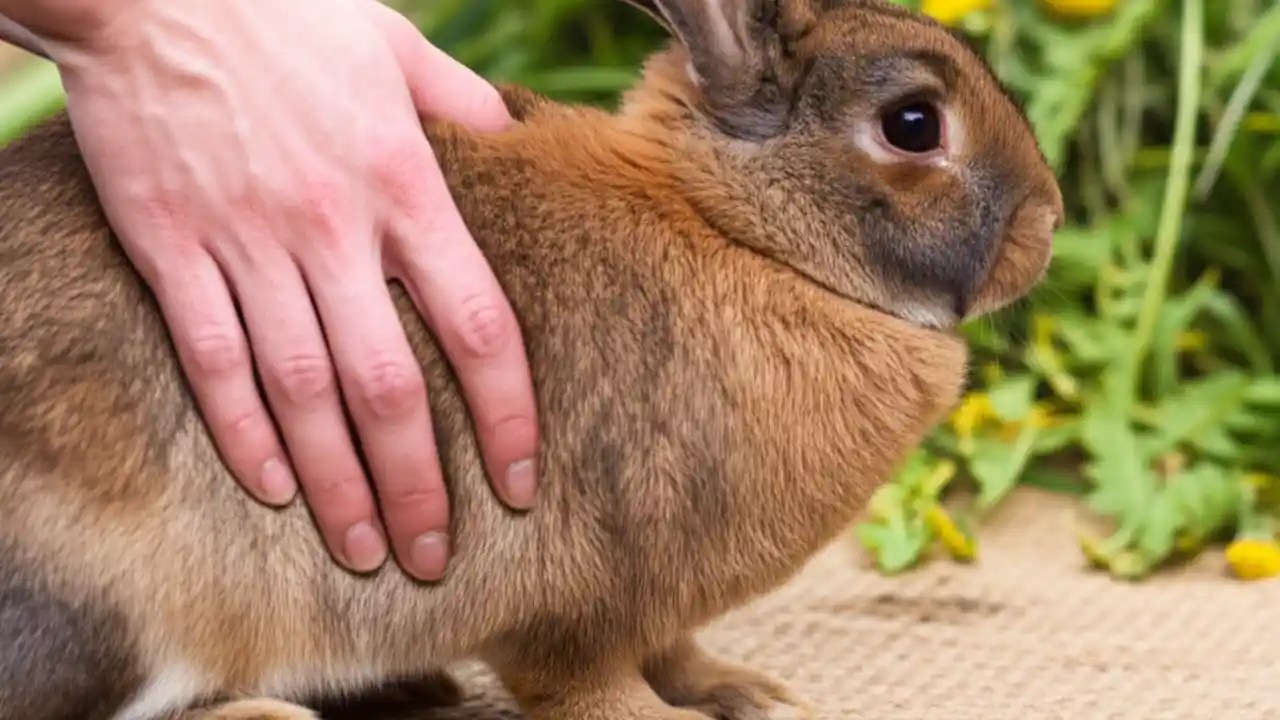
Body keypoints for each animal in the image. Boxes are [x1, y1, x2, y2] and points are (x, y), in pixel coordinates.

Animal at [0, 0, 1063, 718]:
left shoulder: (660, 608)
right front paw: (669, 716)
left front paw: (749, 692)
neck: (748, 236)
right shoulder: (577, 597)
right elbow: (589, 685)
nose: (1047, 225)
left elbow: (679, 651)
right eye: (914, 124)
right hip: (122, 607)